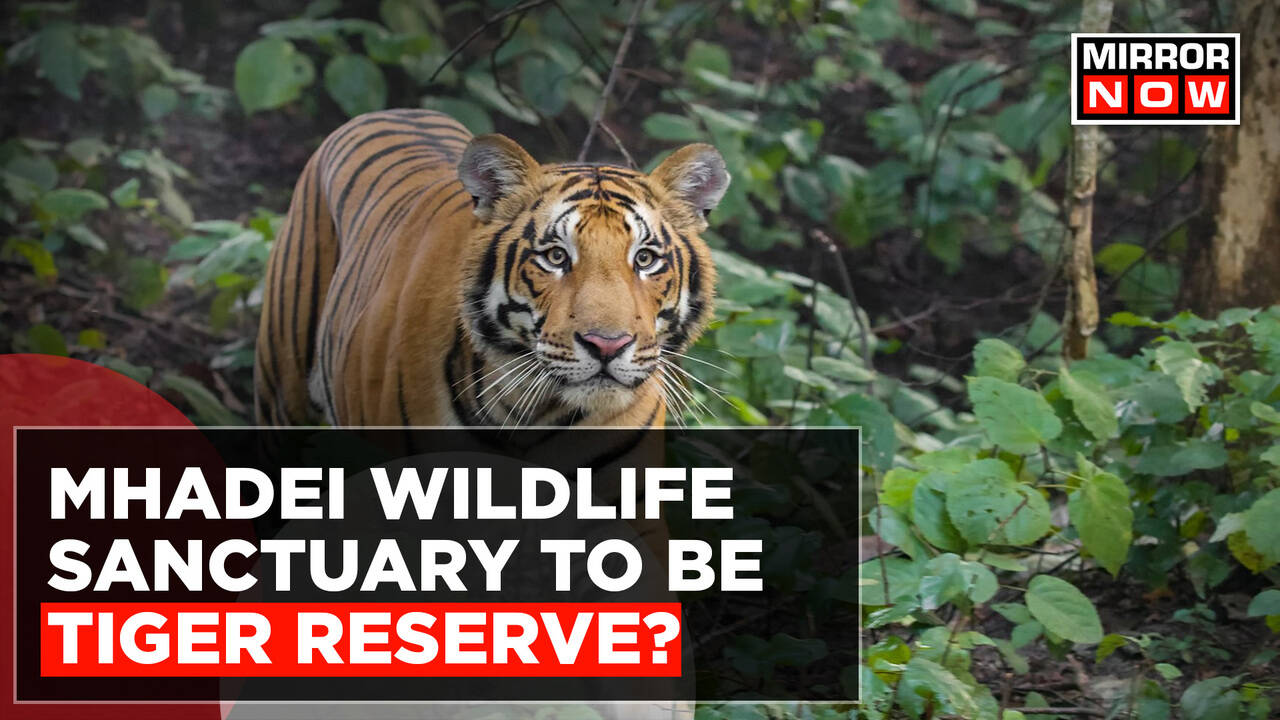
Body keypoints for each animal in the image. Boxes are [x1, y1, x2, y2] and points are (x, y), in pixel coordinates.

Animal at [253, 109, 728, 429]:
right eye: (556, 257)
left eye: (645, 259)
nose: (607, 346)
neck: (535, 411)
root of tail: (394, 110)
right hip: (283, 397)